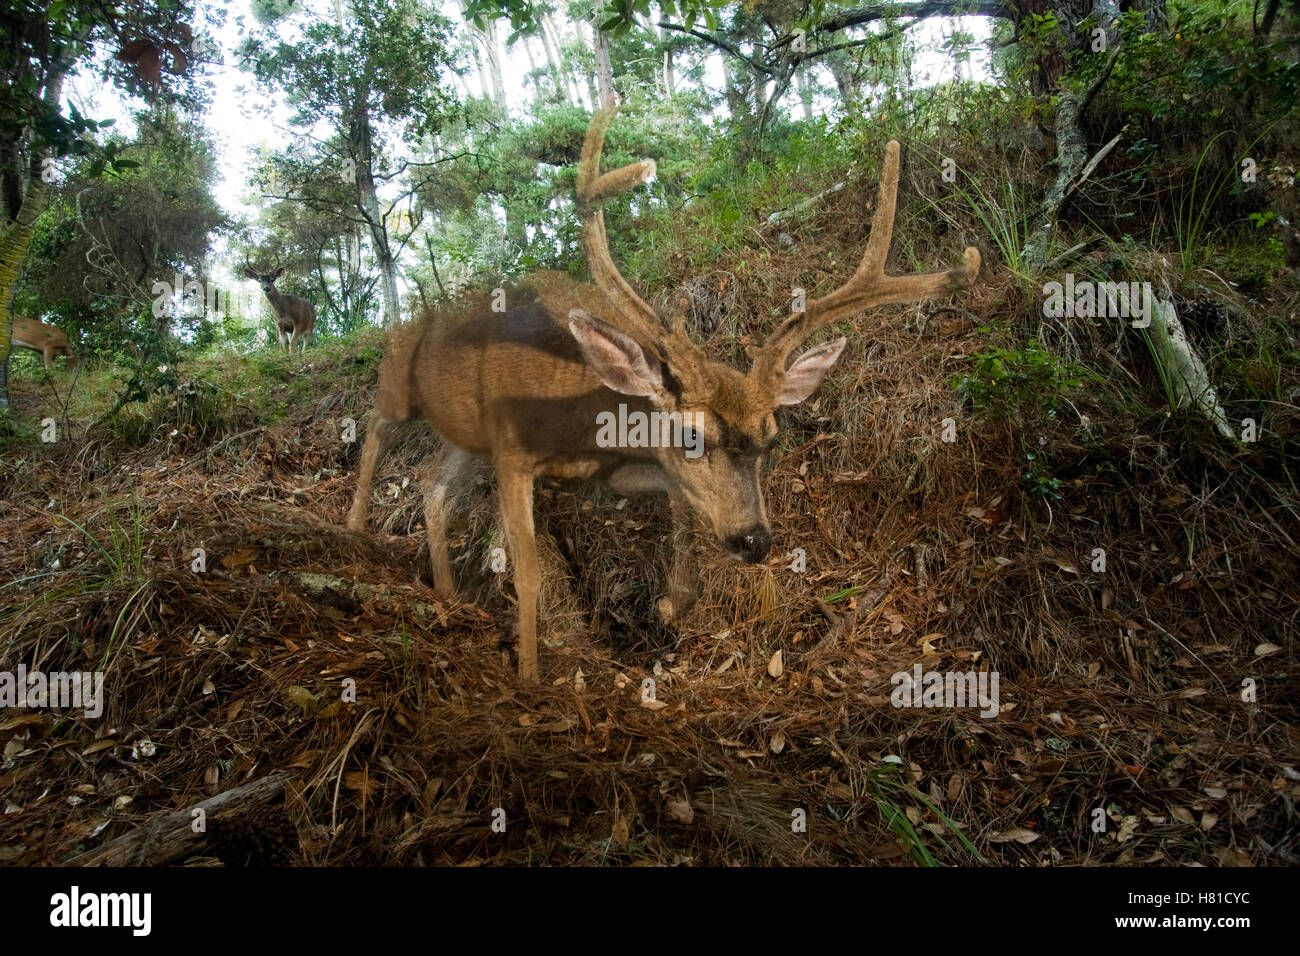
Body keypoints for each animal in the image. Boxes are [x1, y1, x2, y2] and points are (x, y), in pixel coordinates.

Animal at [347, 103, 980, 681]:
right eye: (692, 437)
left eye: (772, 440)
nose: (755, 541)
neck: (578, 419)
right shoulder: (510, 450)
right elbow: (527, 570)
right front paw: (528, 674)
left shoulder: (613, 467)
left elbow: (676, 498)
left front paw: (676, 599)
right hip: (402, 384)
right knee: (377, 424)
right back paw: (354, 526)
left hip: (462, 440)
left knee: (432, 489)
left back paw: (447, 593)